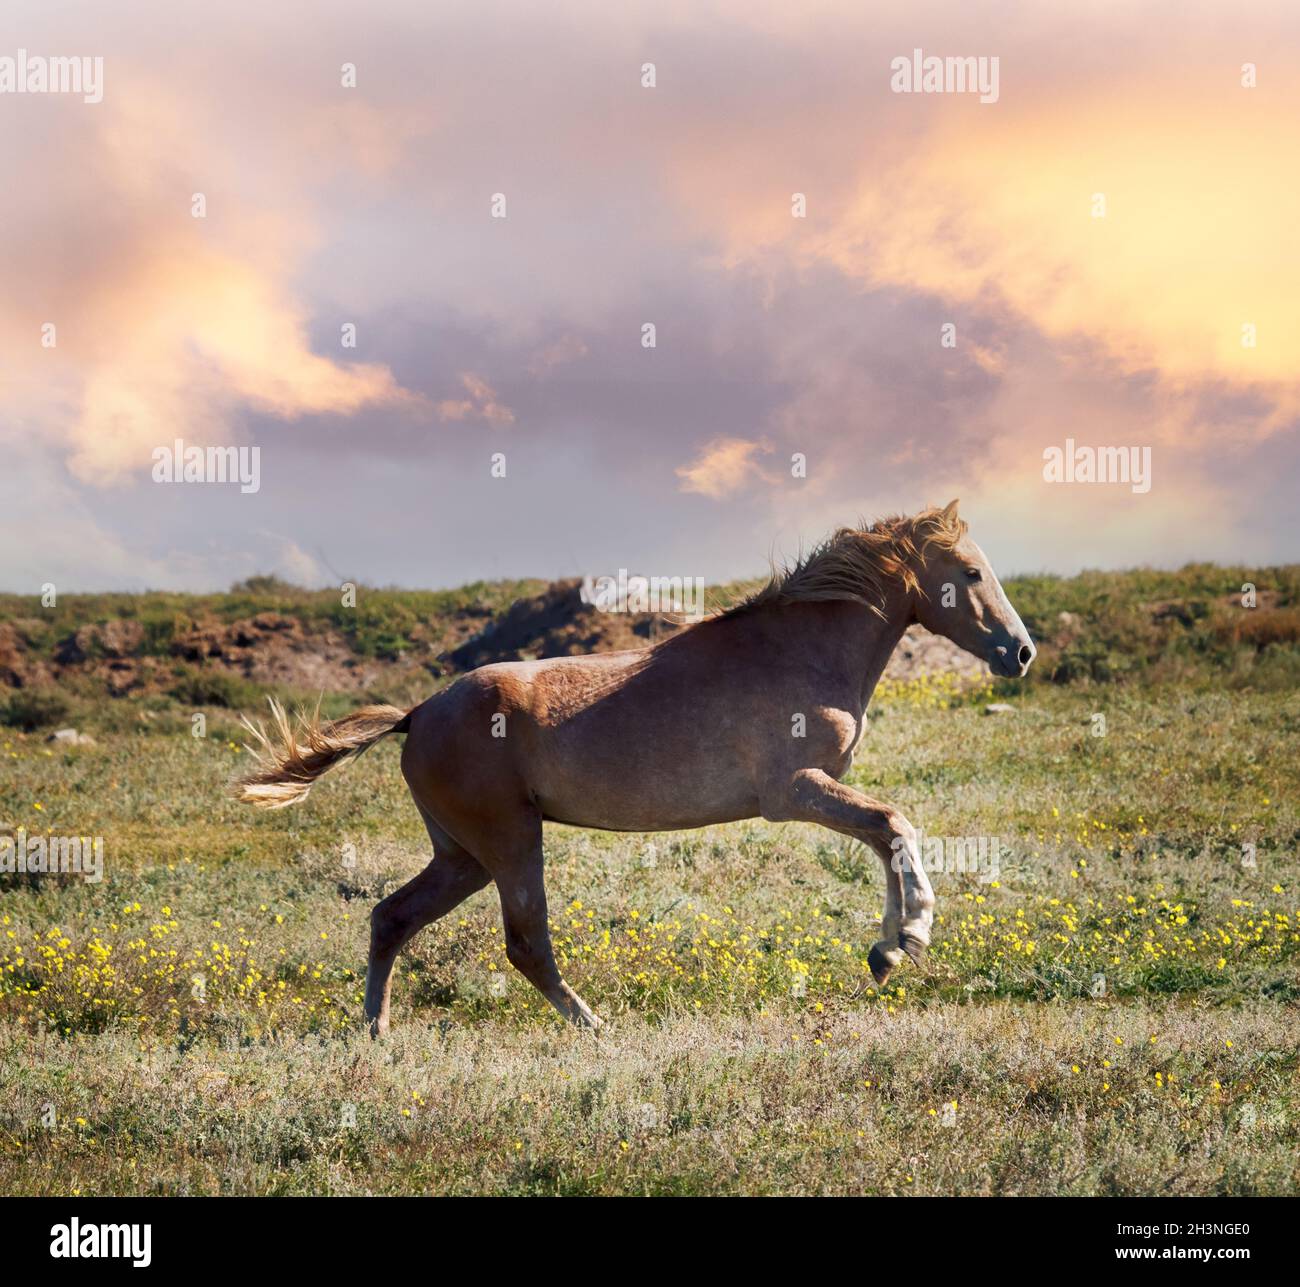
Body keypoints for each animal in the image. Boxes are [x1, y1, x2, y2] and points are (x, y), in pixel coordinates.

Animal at [236, 504, 1034, 1040]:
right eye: (970, 572)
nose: (1020, 652)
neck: (799, 649)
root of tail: (418, 712)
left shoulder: (815, 792)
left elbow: (886, 835)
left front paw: (887, 951)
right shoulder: (796, 792)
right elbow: (895, 824)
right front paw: (907, 939)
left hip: (461, 855)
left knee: (392, 917)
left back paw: (377, 1033)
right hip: (509, 843)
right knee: (525, 943)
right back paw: (593, 1026)